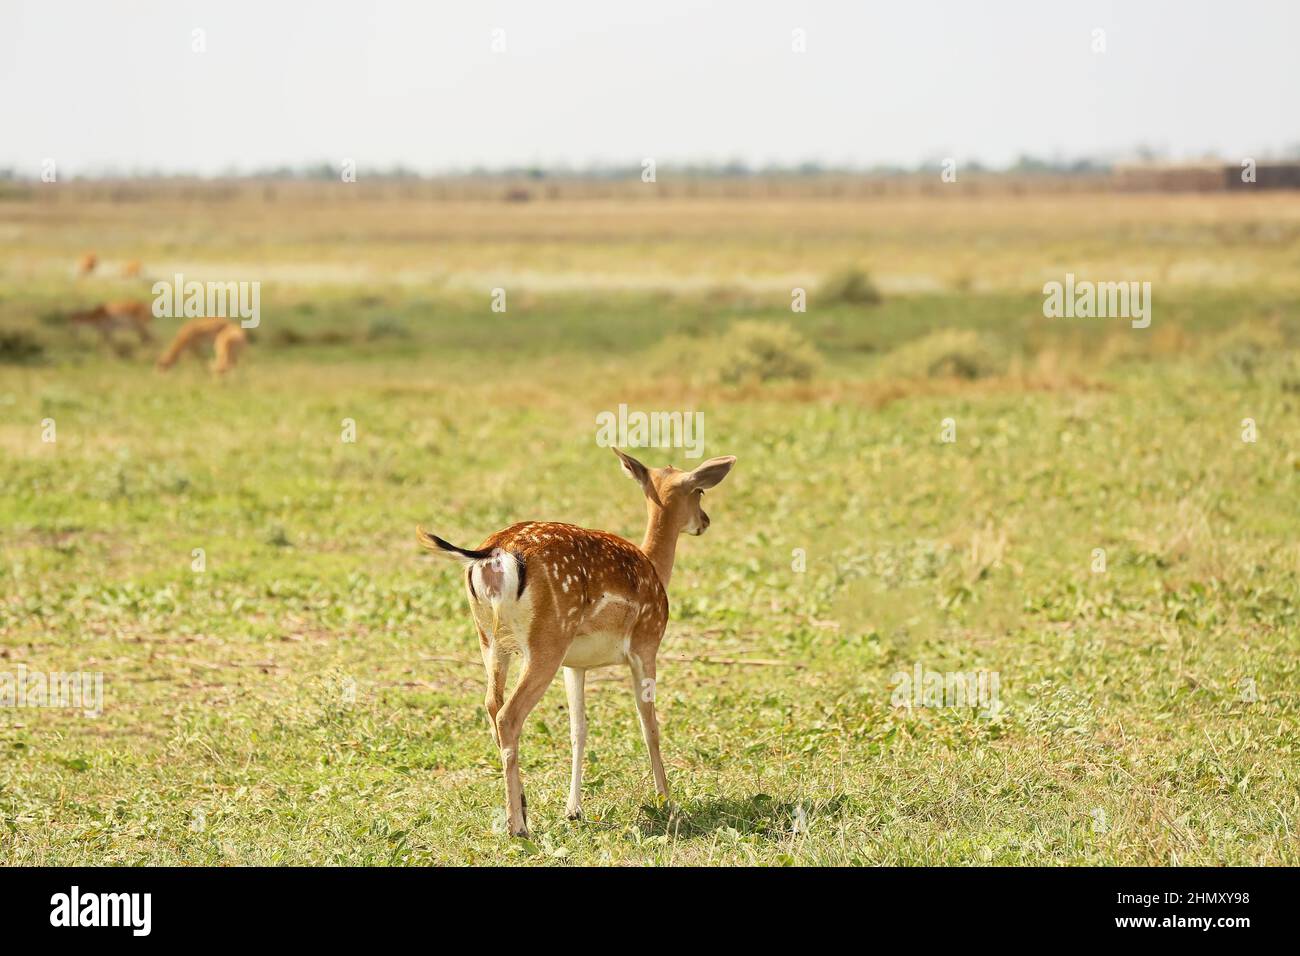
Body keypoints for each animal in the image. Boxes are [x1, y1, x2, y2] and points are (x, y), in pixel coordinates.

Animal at [416, 447, 736, 838]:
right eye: (700, 491)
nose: (704, 521)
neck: (655, 568)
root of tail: (494, 554)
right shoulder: (646, 645)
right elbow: (649, 726)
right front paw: (667, 803)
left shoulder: (576, 664)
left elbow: (578, 729)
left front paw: (574, 810)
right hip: (546, 642)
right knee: (509, 715)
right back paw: (517, 826)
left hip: (490, 640)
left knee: (492, 705)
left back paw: (522, 808)